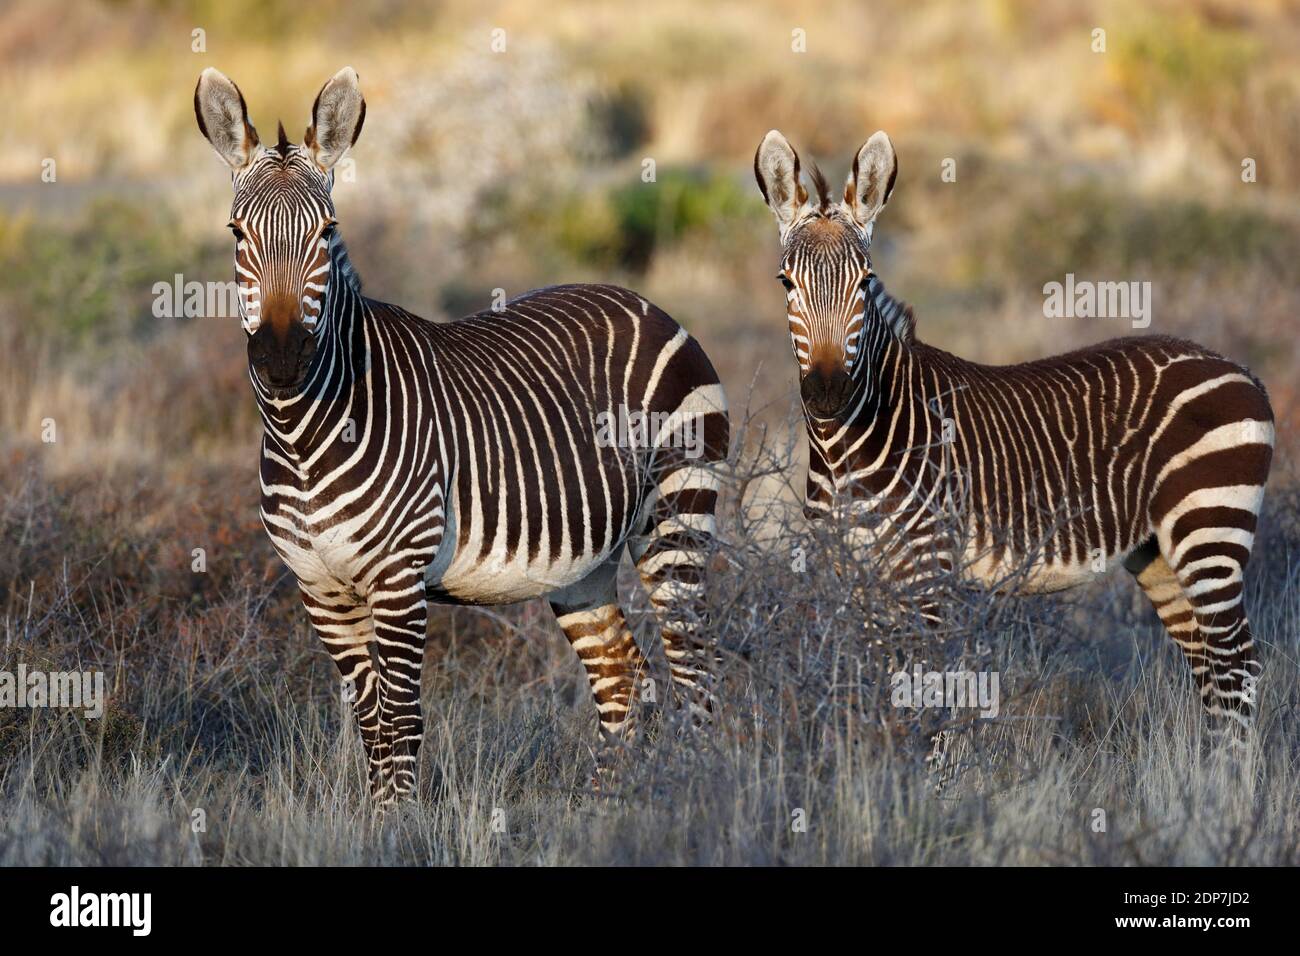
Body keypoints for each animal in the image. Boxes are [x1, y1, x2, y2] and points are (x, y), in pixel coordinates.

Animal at [193, 66, 728, 804]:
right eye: (236, 232)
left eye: (327, 231)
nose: (280, 361)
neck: (304, 436)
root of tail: (645, 303)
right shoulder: (320, 587)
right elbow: (370, 721)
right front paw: (374, 817)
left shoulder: (397, 577)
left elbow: (401, 717)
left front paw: (399, 820)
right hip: (585, 561)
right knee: (625, 676)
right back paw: (604, 809)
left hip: (675, 516)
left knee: (694, 666)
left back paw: (698, 797)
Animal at [753, 129, 1275, 741]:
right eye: (786, 283)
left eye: (864, 283)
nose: (829, 393)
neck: (844, 452)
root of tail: (1238, 368)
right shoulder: (852, 577)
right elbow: (871, 686)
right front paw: (872, 763)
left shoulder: (927, 572)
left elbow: (924, 692)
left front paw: (921, 768)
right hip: (1159, 553)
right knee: (1210, 669)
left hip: (1208, 530)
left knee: (1237, 663)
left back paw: (1232, 771)